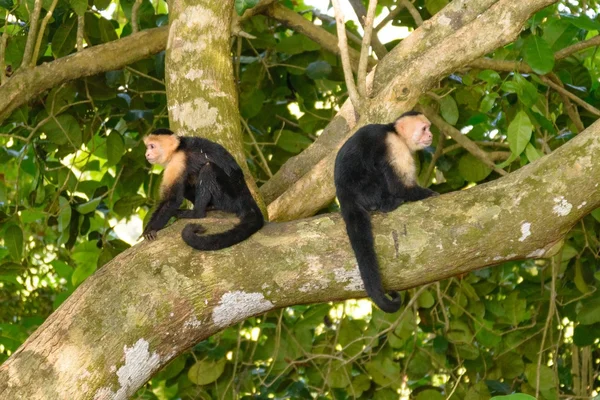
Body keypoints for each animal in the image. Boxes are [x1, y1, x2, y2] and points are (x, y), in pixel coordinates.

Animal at [332, 111, 436, 314]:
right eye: (424, 129)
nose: (431, 135)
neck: (395, 132)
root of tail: (343, 194)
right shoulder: (394, 146)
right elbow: (399, 187)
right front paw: (429, 193)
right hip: (362, 188)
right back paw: (388, 204)